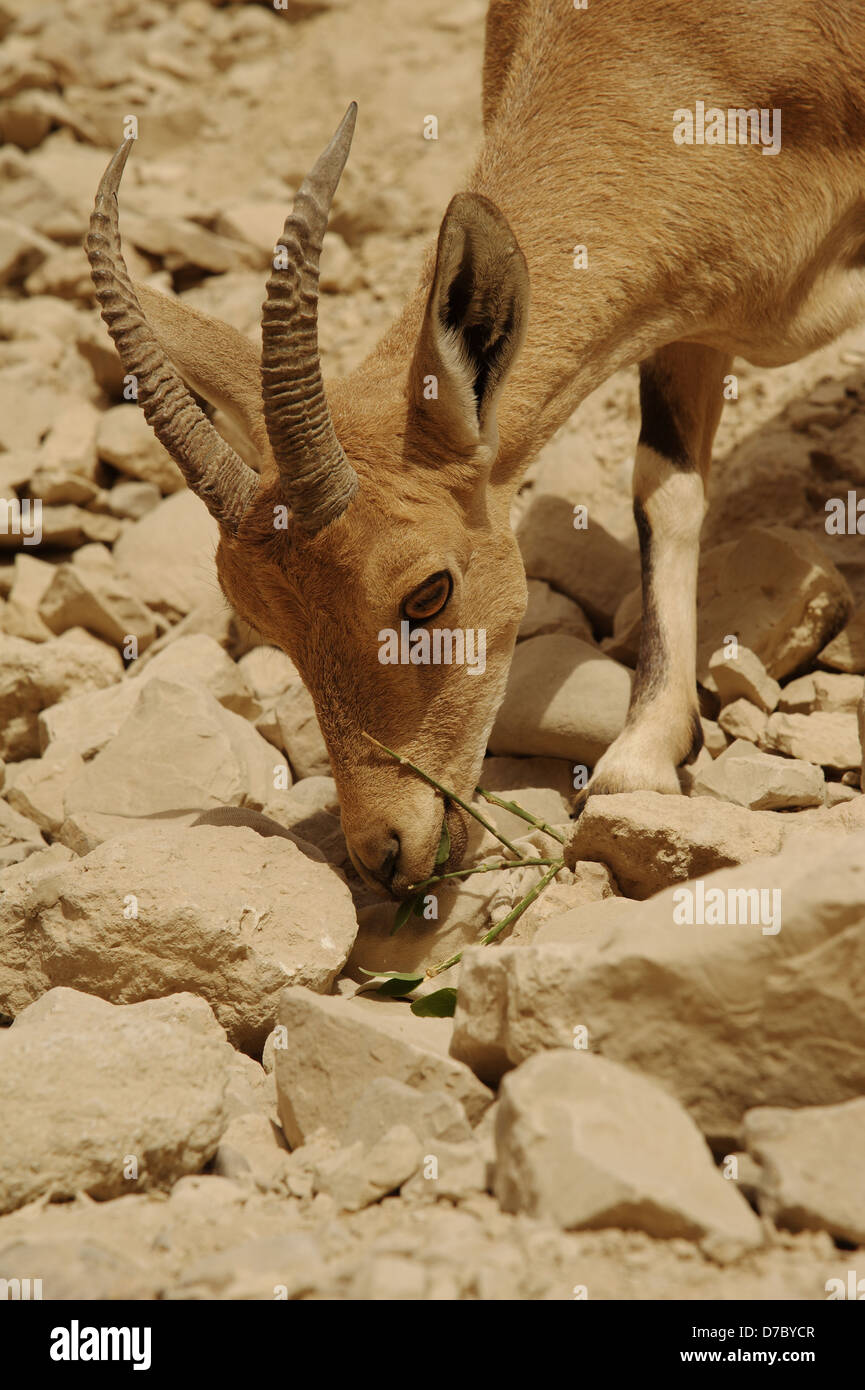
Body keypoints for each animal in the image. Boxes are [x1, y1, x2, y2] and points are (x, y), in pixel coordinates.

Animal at [87, 0, 865, 898]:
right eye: (264, 624)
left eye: (428, 593)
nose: (388, 854)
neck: (703, 53)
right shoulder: (687, 311)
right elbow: (663, 490)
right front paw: (642, 754)